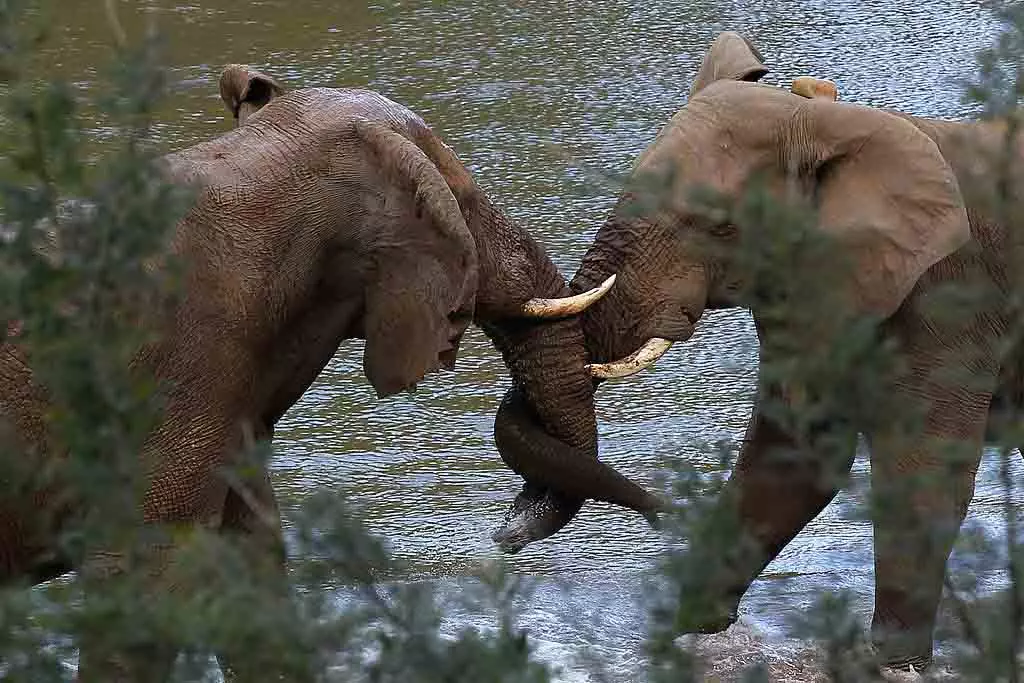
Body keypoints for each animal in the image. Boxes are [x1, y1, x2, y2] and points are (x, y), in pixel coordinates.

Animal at [491, 33, 1019, 671]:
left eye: (715, 222)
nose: (504, 534)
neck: (839, 126)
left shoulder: (951, 300)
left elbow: (922, 472)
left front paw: (894, 664)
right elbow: (788, 460)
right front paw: (685, 634)